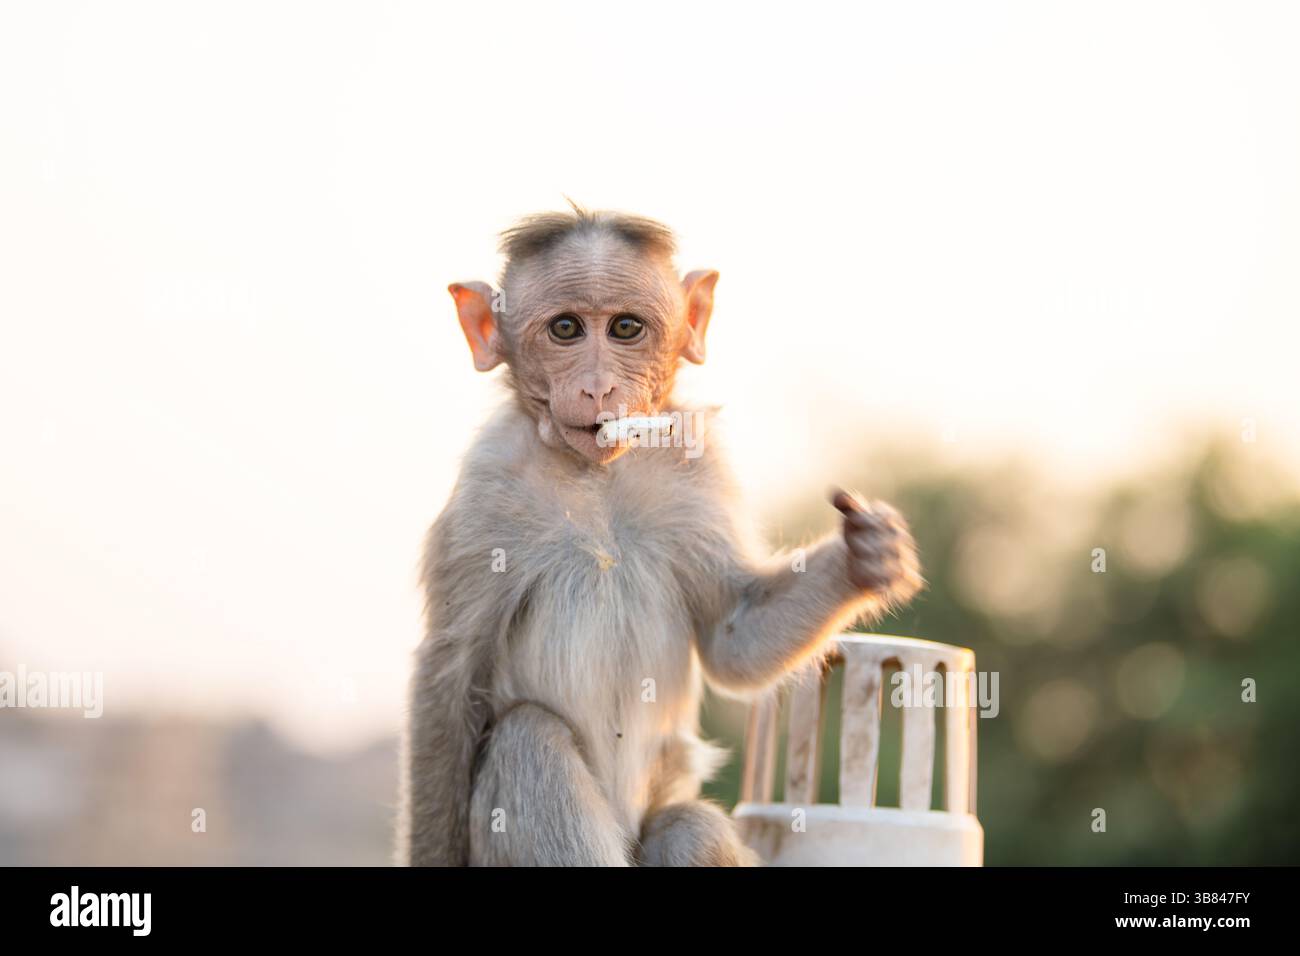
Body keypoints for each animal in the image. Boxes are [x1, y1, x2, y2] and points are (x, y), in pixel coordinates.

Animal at [397, 205, 923, 866]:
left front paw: (868, 558)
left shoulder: (702, 469)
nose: (598, 387)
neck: (596, 472)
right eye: (566, 329)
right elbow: (450, 676)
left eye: (625, 328)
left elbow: (733, 638)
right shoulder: (484, 496)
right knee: (528, 739)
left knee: (690, 828)